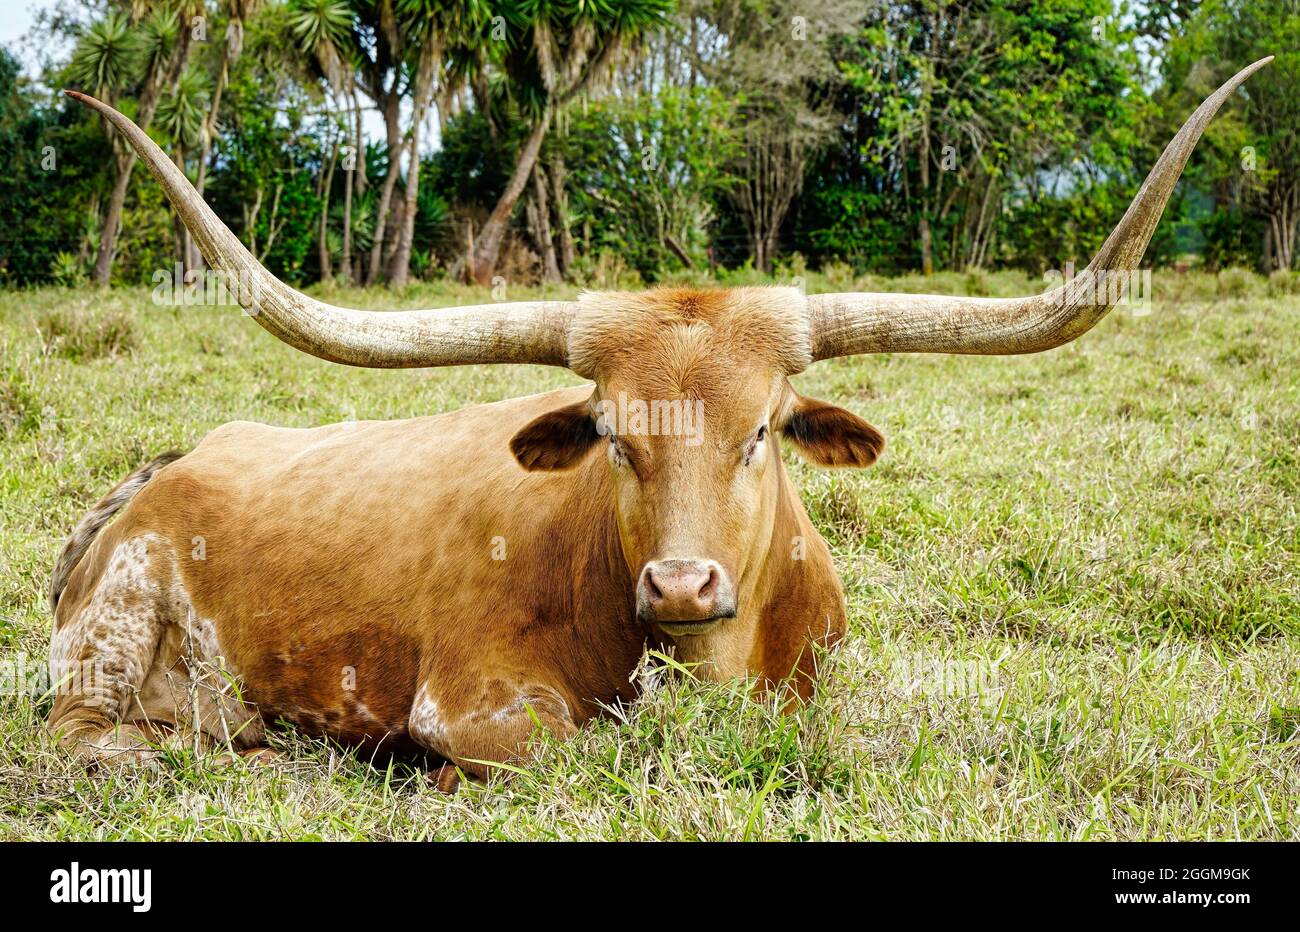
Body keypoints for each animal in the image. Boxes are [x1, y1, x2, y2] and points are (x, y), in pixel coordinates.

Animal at [47, 60, 1268, 789]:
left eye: (762, 433)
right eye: (614, 437)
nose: (682, 585)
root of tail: (163, 470)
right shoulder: (472, 704)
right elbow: (551, 747)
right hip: (105, 655)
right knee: (102, 740)